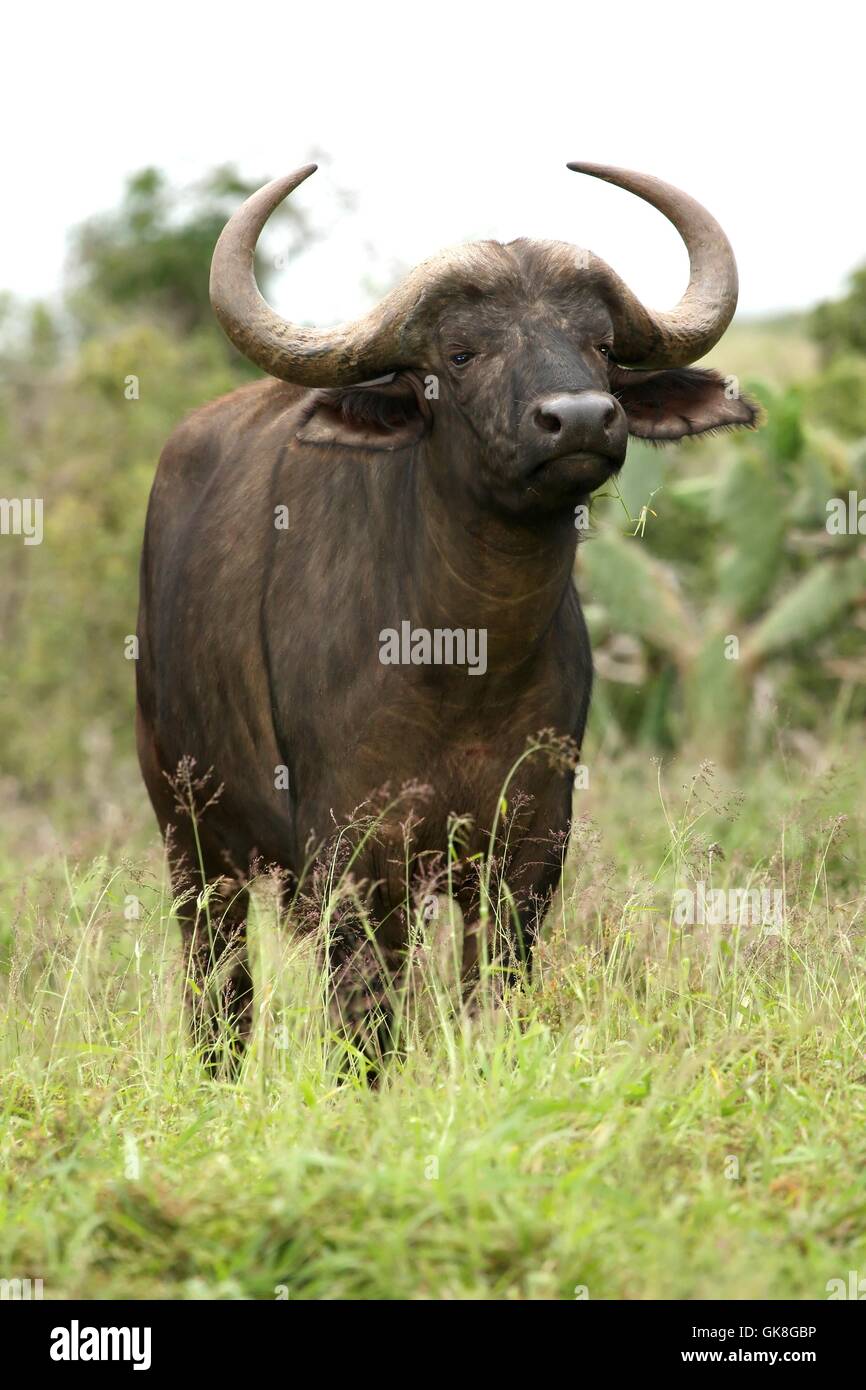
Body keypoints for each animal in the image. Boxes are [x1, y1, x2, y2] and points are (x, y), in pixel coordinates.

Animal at [135, 161, 757, 1072]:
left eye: (602, 345)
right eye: (460, 353)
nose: (580, 418)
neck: (466, 659)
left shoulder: (528, 854)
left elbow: (489, 997)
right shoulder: (349, 857)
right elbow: (365, 1027)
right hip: (190, 840)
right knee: (221, 992)